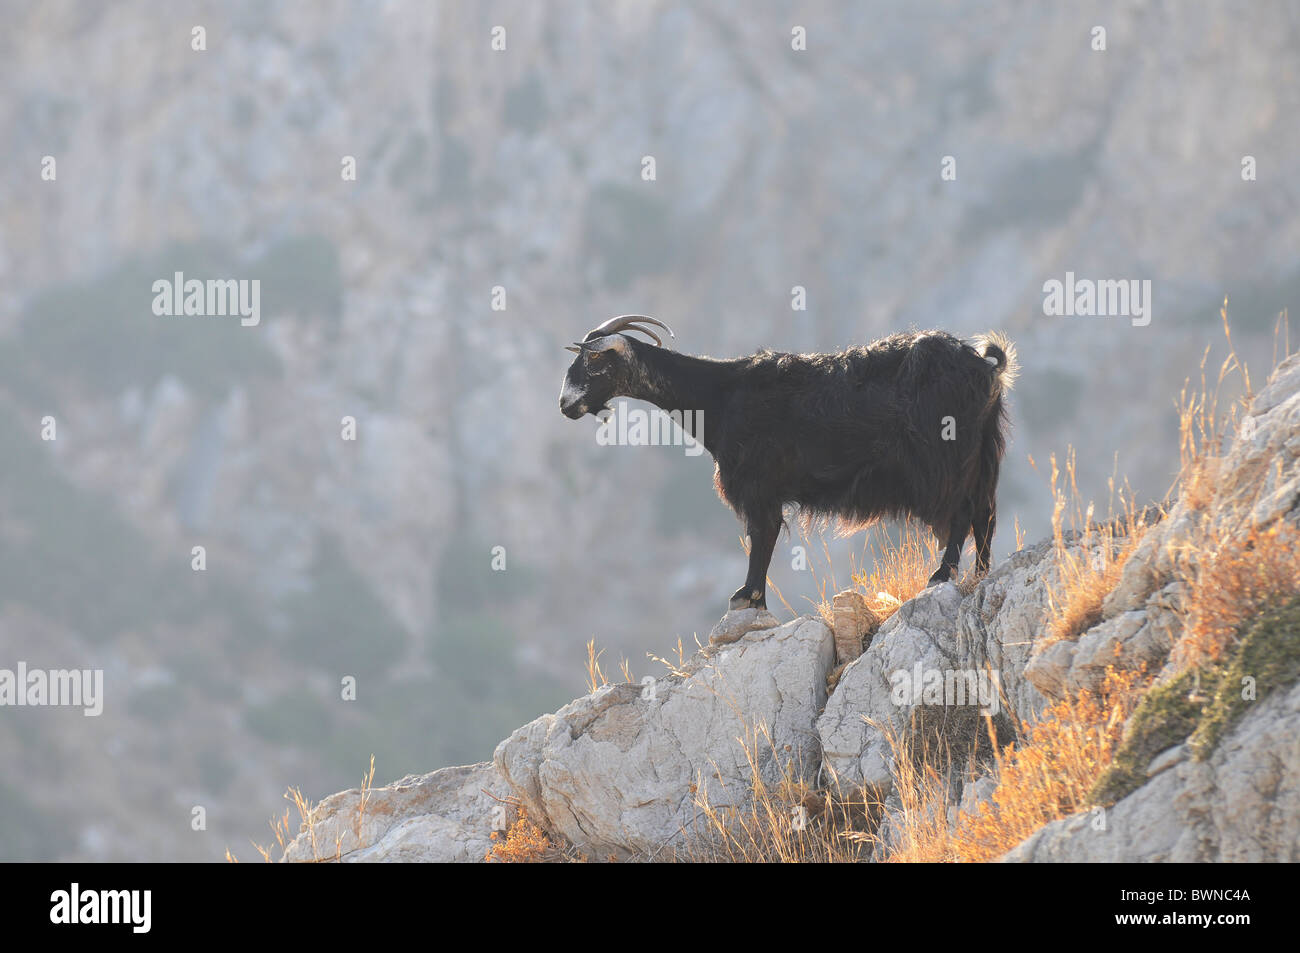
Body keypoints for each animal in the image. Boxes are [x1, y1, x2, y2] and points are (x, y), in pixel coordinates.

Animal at [559, 315, 1018, 611]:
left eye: (594, 361)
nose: (565, 405)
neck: (721, 394)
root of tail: (985, 366)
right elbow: (764, 540)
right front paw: (754, 599)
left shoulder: (758, 488)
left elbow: (761, 539)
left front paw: (746, 597)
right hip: (983, 458)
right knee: (985, 514)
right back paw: (980, 573)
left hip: (946, 460)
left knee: (962, 514)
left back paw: (943, 574)